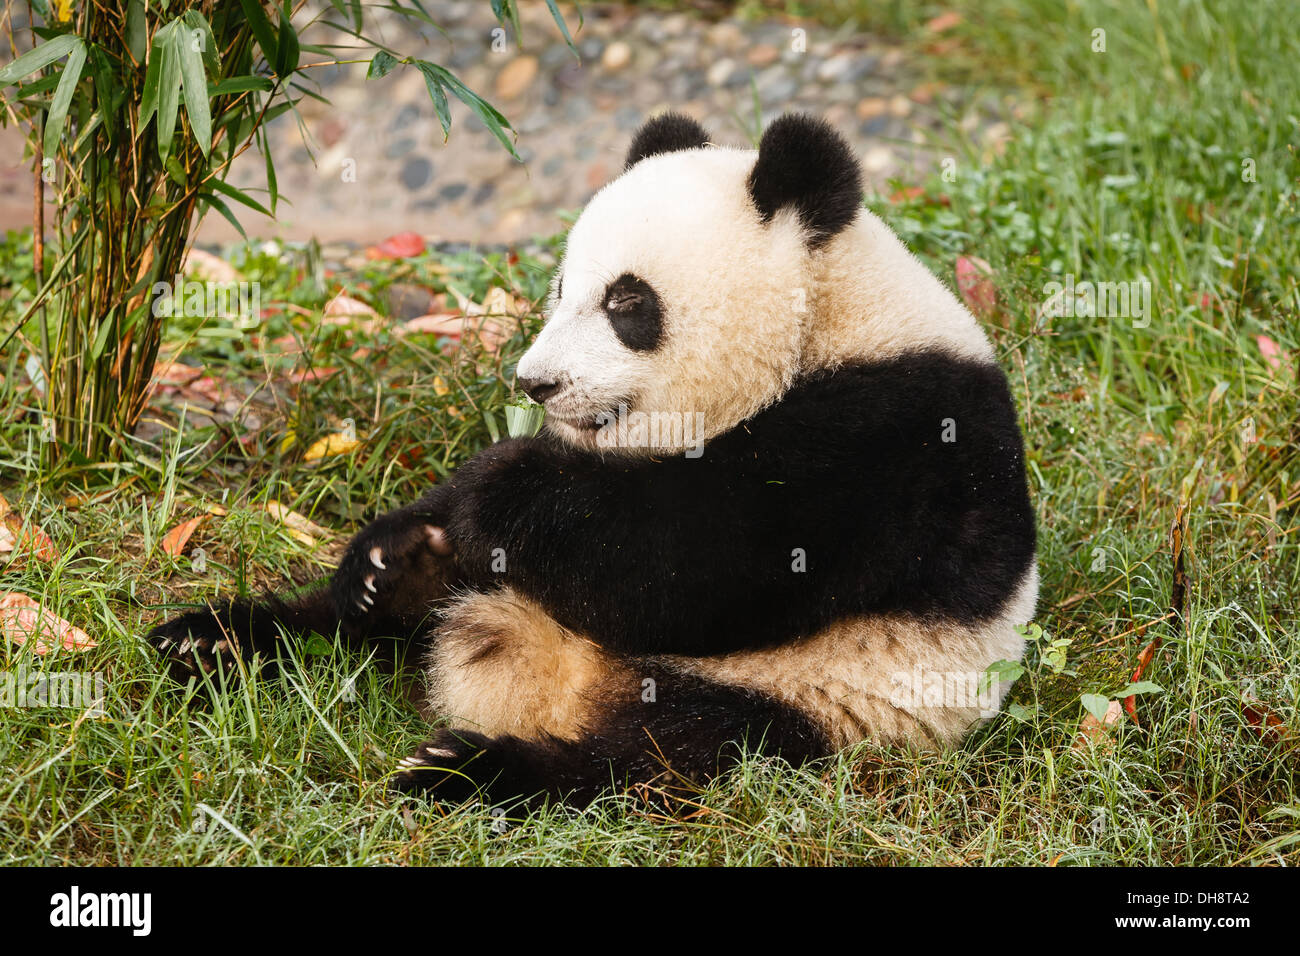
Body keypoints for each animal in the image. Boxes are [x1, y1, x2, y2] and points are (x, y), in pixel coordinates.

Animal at [149, 112, 1038, 809]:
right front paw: (395, 549)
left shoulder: (889, 439)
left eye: (626, 302)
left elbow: (698, 566)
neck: (829, 316)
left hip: (827, 695)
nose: (535, 383)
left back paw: (470, 769)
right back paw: (221, 640)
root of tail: (555, 677)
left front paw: (500, 487)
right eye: (559, 289)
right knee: (367, 628)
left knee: (674, 753)